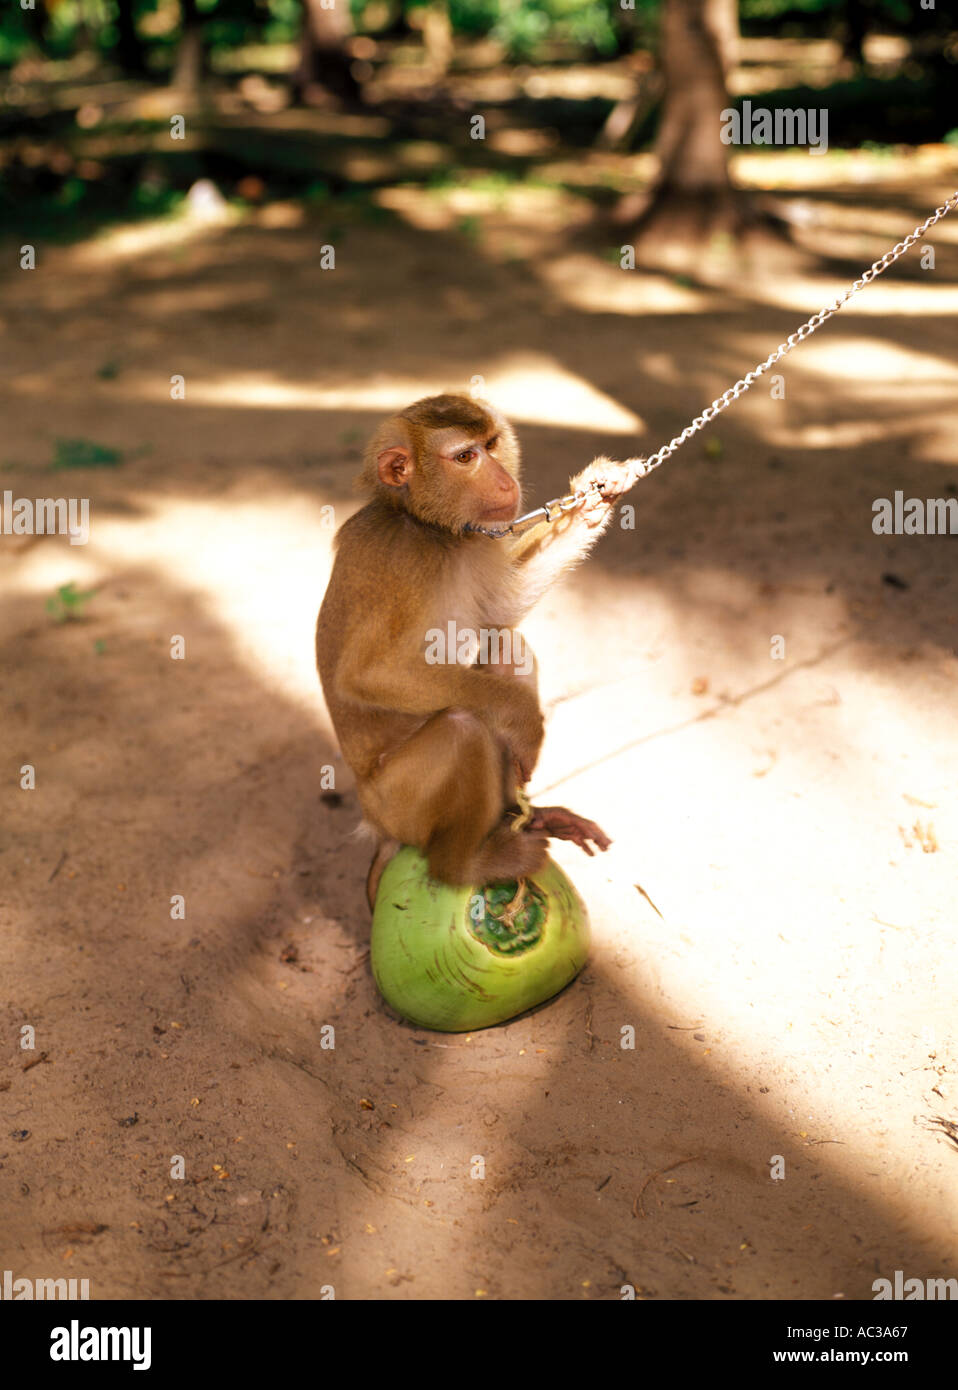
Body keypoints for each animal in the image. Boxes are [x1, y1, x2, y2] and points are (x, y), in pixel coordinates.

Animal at [316, 393, 640, 910]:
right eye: (465, 457)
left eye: (491, 445)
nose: (505, 480)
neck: (425, 525)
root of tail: (378, 827)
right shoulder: (403, 561)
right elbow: (370, 675)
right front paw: (524, 721)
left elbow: (499, 611)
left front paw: (596, 498)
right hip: (401, 806)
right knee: (464, 728)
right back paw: (464, 865)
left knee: (508, 646)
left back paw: (531, 814)